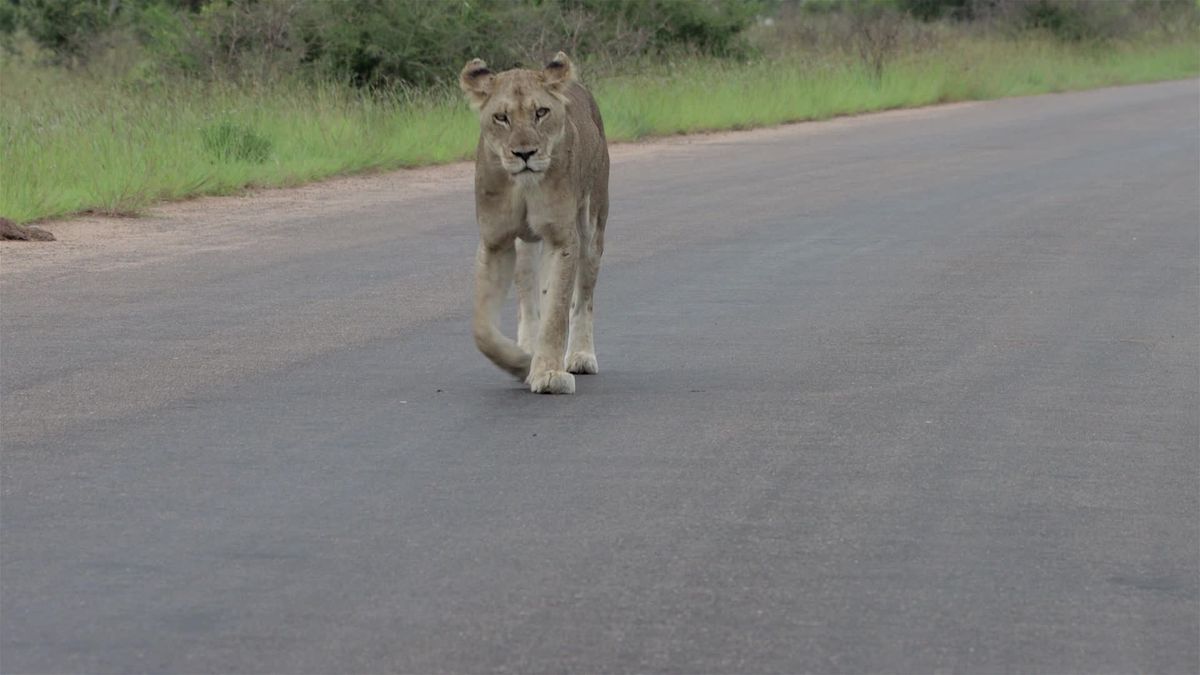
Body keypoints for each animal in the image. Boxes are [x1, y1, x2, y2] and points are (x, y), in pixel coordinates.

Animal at [459, 52, 610, 394]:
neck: (523, 187)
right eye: (501, 117)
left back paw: (580, 355)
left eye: (541, 112)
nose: (524, 153)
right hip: (524, 248)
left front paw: (549, 373)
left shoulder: (561, 239)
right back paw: (528, 348)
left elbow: (556, 312)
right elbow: (482, 329)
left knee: (583, 299)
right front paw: (519, 363)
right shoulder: (495, 242)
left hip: (592, 227)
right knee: (528, 299)